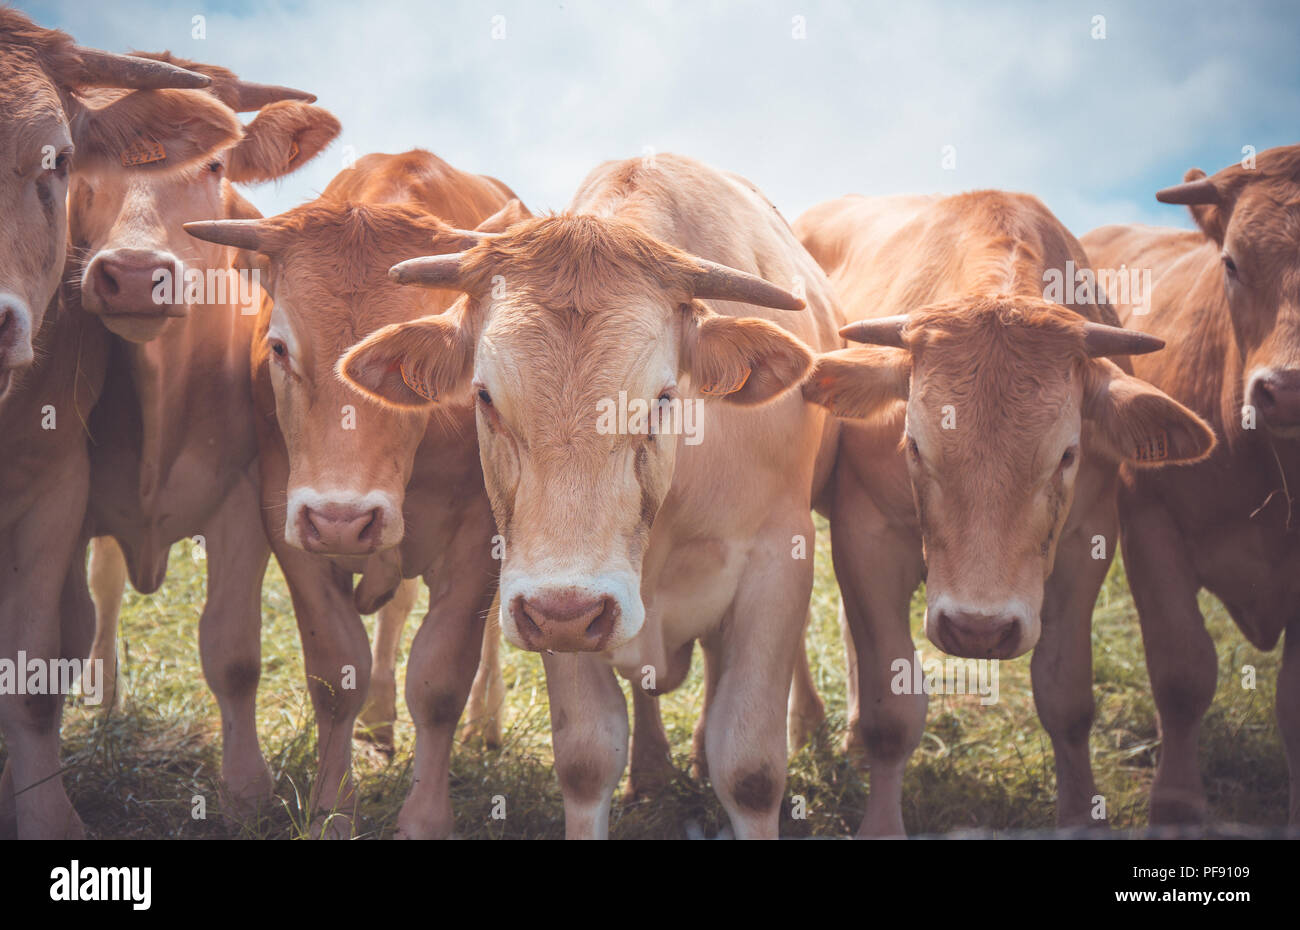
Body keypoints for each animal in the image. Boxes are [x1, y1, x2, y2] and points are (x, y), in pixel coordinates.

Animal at [62, 53, 340, 812]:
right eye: (71, 163)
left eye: (215, 165)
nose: (133, 276)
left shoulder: (246, 499)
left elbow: (233, 652)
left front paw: (246, 789)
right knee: (105, 588)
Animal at [183, 149, 522, 837]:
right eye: (279, 347)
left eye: (410, 369)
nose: (343, 518)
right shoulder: (290, 521)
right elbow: (337, 674)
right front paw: (333, 807)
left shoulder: (480, 536)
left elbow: (441, 679)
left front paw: (425, 817)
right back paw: (382, 719)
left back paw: (486, 721)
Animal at [338, 153, 843, 839]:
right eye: (484, 396)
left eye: (663, 397)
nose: (569, 611)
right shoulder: (552, 605)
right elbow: (585, 761)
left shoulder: (775, 564)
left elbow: (750, 769)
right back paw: (652, 770)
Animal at [793, 190, 1216, 835]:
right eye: (914, 446)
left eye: (1067, 455)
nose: (978, 629)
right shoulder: (866, 535)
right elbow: (893, 713)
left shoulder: (1087, 540)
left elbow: (1067, 698)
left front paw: (1079, 815)